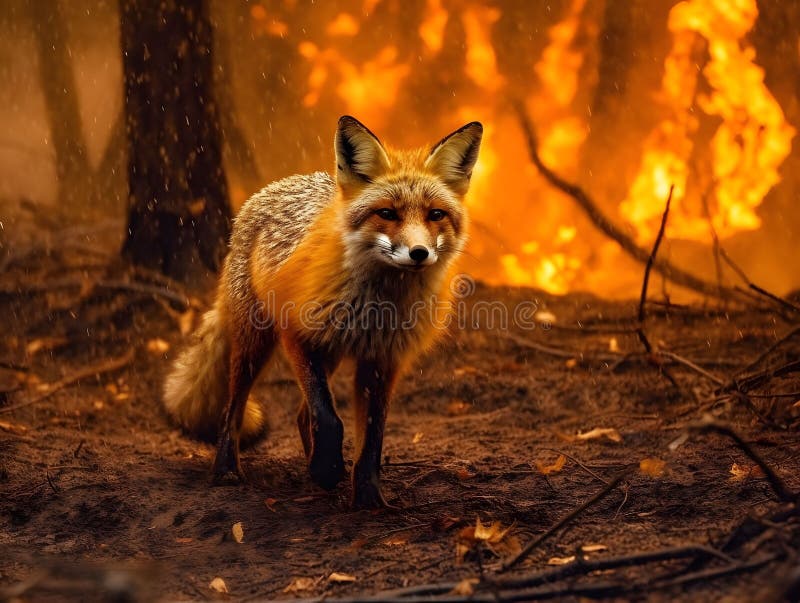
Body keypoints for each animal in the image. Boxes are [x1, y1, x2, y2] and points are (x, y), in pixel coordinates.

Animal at [163, 115, 482, 508]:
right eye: (387, 213)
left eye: (435, 214)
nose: (419, 253)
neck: (378, 307)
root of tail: (274, 187)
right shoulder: (298, 336)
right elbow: (329, 418)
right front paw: (327, 471)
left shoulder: (382, 361)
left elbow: (371, 440)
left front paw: (367, 497)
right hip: (257, 343)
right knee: (234, 409)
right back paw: (228, 471)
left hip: (327, 352)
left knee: (302, 415)